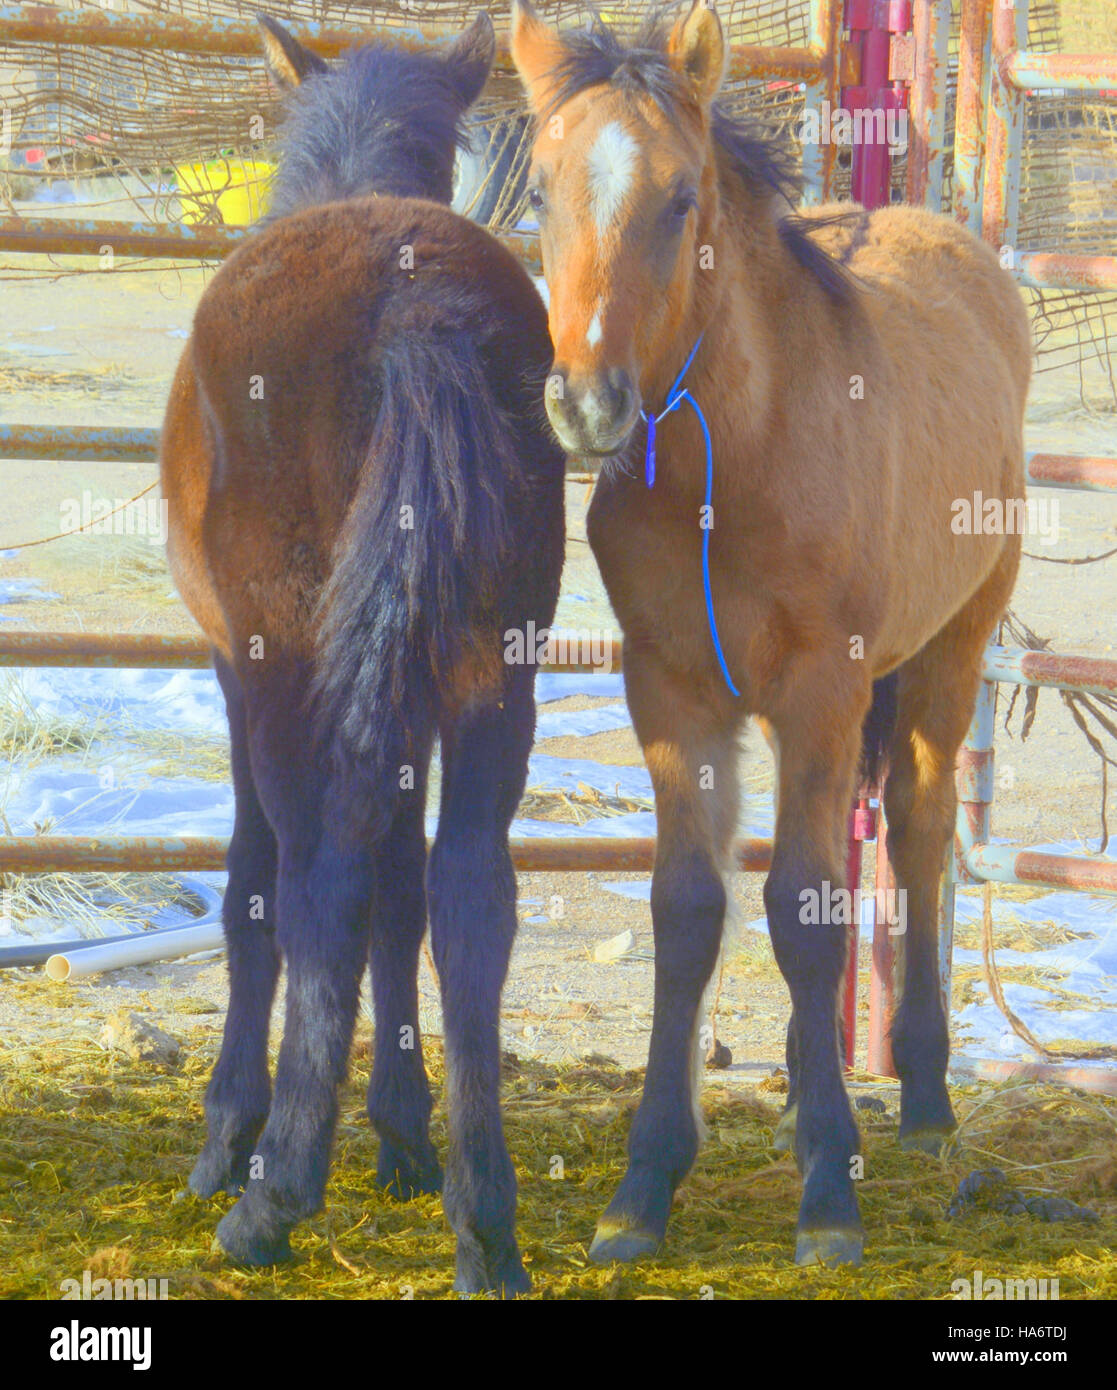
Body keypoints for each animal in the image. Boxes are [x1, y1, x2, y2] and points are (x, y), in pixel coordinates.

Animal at [160, 12, 565, 1295]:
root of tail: (412, 315)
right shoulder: (416, 693)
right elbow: (406, 886)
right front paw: (402, 1131)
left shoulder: (238, 673)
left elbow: (259, 886)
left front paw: (230, 1132)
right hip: (492, 671)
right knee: (472, 893)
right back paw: (485, 1223)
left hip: (292, 664)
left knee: (314, 884)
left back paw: (272, 1191)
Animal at [511, 0, 1031, 1267]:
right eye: (541, 189)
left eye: (679, 197)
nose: (585, 402)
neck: (733, 463)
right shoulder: (673, 697)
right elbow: (687, 909)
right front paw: (643, 1185)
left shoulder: (818, 695)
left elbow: (801, 909)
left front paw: (829, 1196)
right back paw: (806, 1093)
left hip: (947, 651)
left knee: (917, 829)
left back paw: (922, 1102)